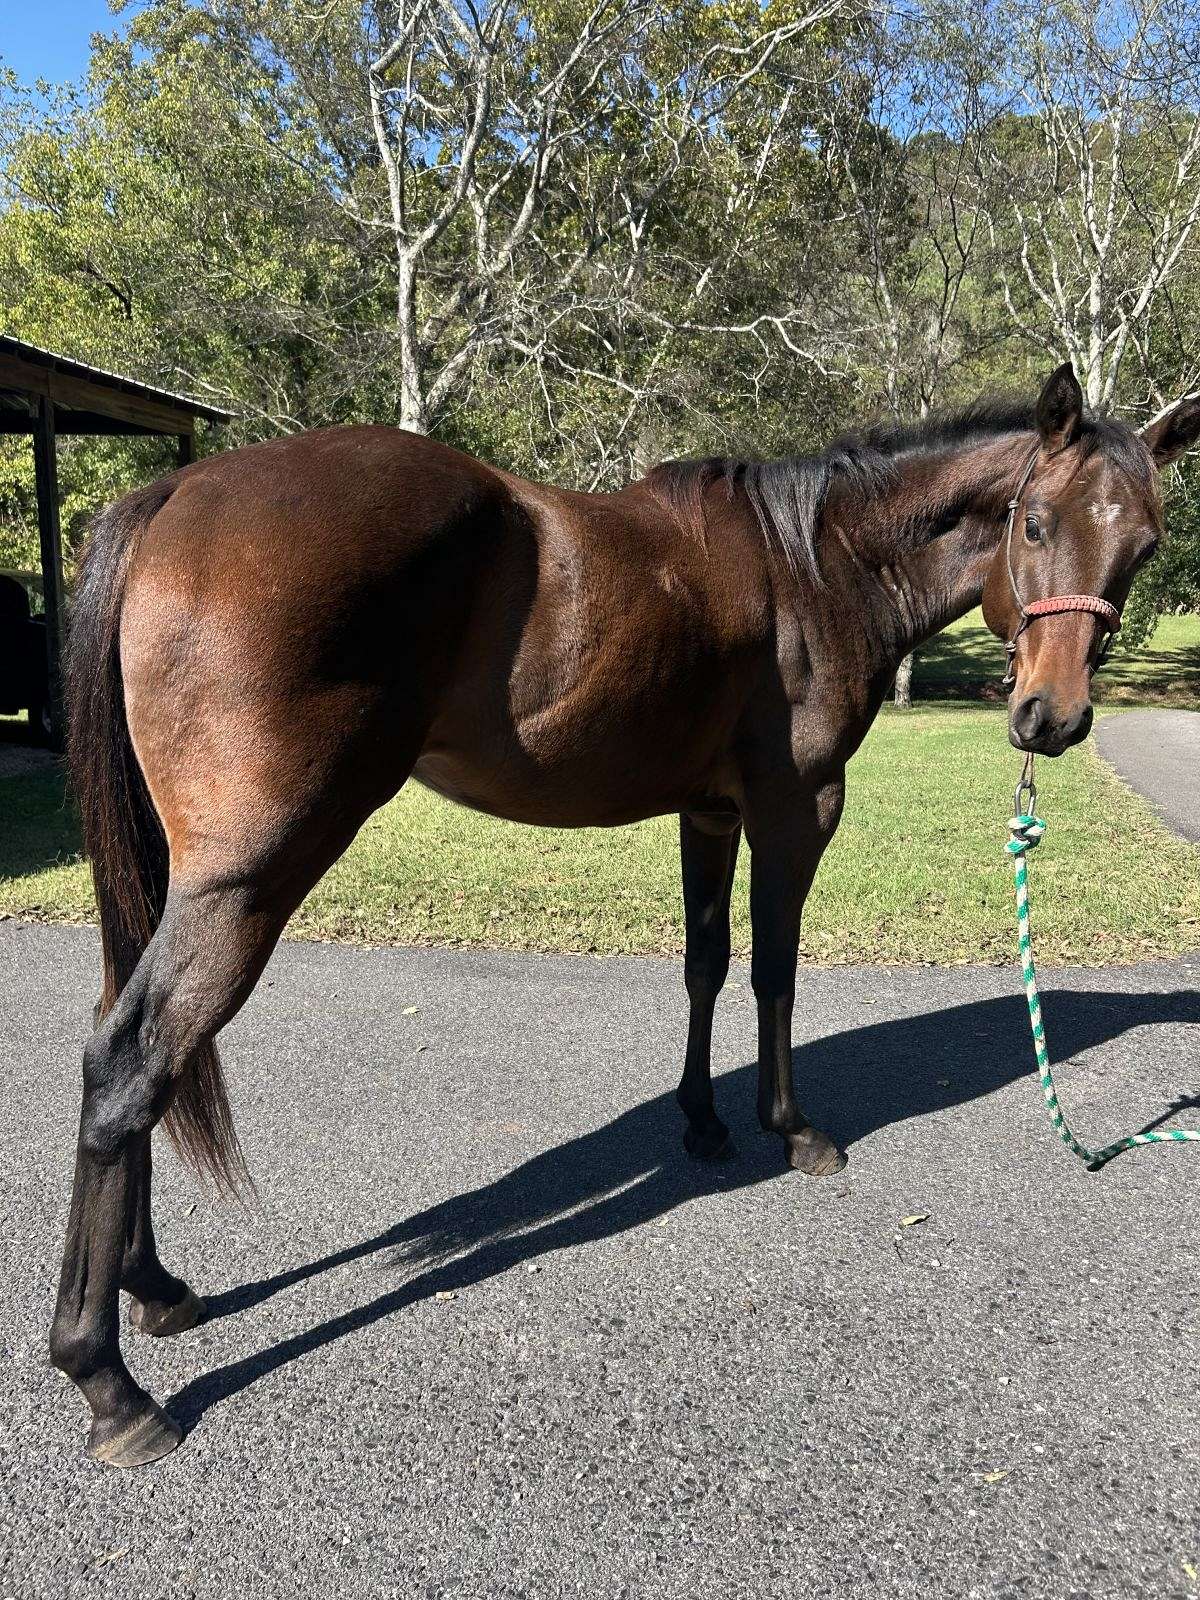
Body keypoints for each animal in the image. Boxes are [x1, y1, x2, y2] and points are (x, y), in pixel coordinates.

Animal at [50, 362, 1200, 1466]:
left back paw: (155, 1289)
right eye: (1034, 523)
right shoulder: (799, 806)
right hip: (249, 877)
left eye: (1143, 545)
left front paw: (702, 1119)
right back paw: (107, 1383)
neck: (819, 561)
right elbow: (774, 969)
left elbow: (706, 962)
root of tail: (174, 495)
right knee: (130, 1061)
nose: (1052, 719)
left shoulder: (709, 811)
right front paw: (791, 1129)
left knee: (123, 1040)